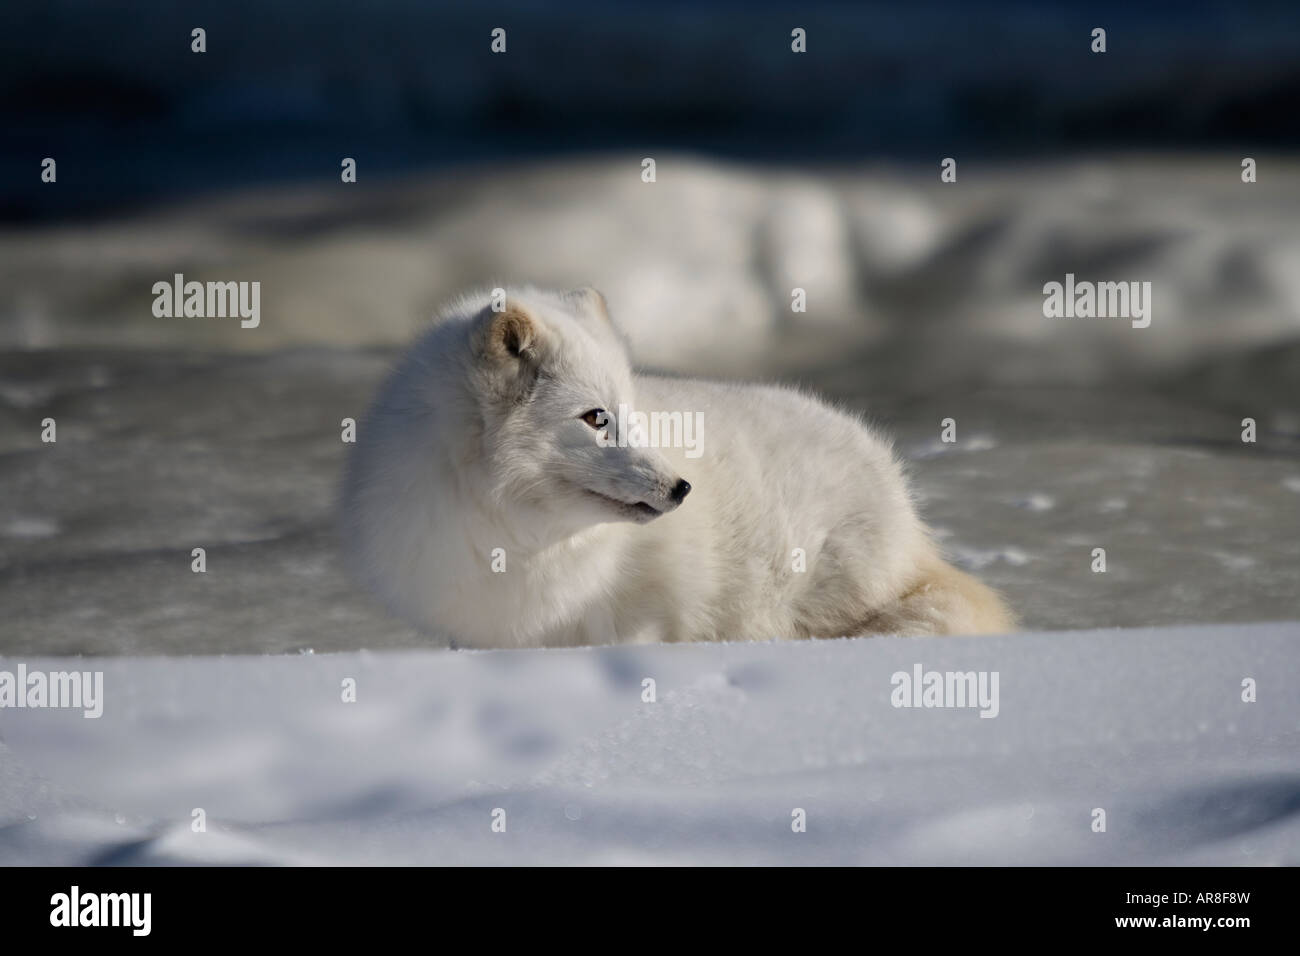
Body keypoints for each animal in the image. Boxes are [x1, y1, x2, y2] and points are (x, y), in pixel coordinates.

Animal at [340, 286, 1016, 649]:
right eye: (595, 418)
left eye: (630, 413)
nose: (682, 488)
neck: (514, 536)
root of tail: (909, 517)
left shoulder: (644, 613)